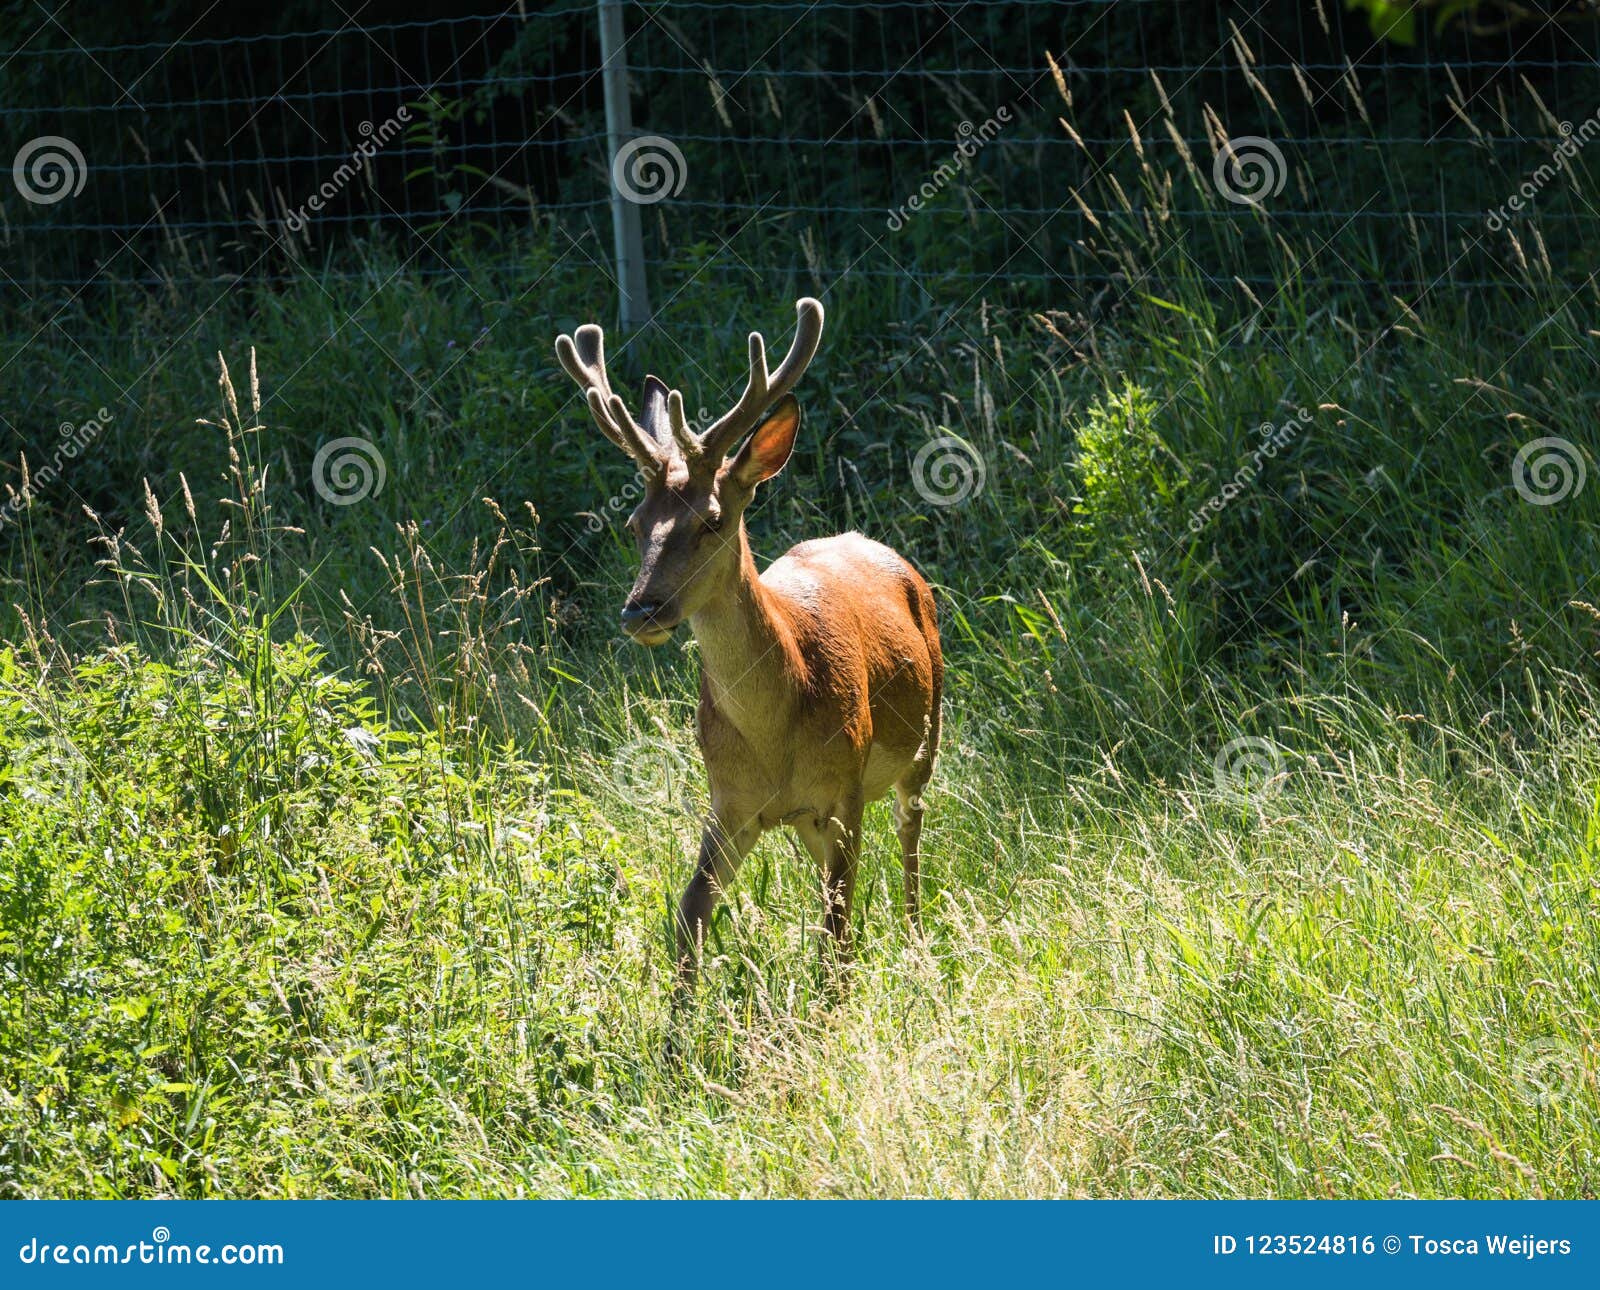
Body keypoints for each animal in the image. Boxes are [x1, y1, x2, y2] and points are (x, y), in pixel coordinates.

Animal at [555, 297, 942, 996]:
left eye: (712, 519)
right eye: (634, 523)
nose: (640, 610)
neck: (778, 733)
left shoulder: (844, 789)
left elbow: (836, 934)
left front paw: (830, 1013)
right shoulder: (730, 802)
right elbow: (689, 913)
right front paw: (679, 1021)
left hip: (926, 736)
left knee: (910, 841)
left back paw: (918, 940)